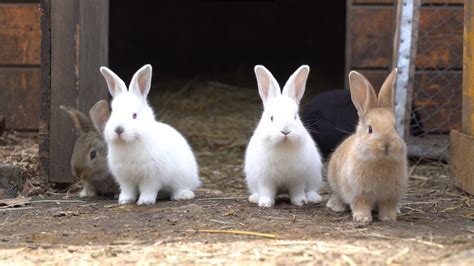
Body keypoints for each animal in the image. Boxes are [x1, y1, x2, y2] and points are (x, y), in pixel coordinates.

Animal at [99, 65, 201, 206]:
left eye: (134, 115)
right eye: (112, 113)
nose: (119, 130)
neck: (130, 142)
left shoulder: (152, 176)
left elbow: (148, 189)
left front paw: (145, 201)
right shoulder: (125, 178)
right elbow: (128, 190)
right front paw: (124, 200)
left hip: (182, 176)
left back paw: (182, 195)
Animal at [244, 65, 322, 207]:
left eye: (295, 117)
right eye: (271, 118)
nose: (285, 131)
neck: (283, 145)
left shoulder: (297, 179)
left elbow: (297, 191)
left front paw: (300, 202)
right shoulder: (265, 179)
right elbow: (266, 191)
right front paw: (265, 204)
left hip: (314, 176)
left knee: (311, 189)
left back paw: (313, 198)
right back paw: (255, 198)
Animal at [326, 69, 408, 222]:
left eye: (394, 127)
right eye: (370, 129)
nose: (386, 144)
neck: (380, 161)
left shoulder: (390, 195)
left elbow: (387, 206)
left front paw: (388, 218)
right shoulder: (359, 193)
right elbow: (361, 205)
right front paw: (362, 218)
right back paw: (336, 206)